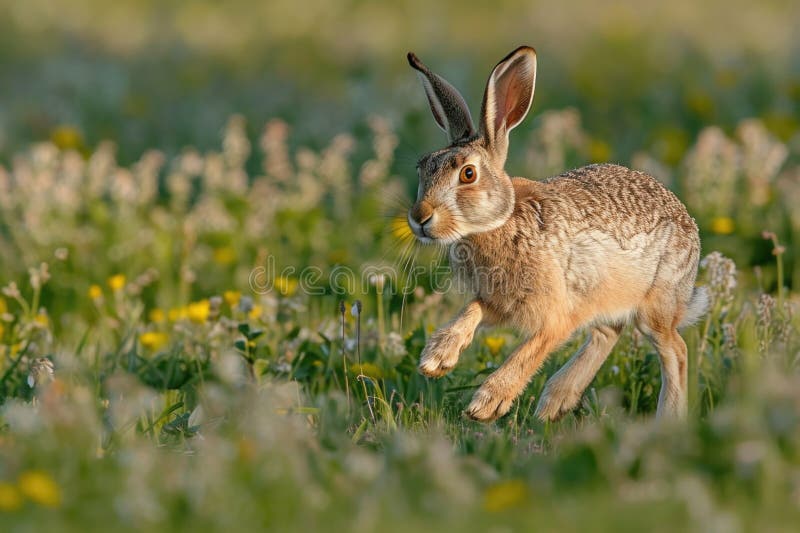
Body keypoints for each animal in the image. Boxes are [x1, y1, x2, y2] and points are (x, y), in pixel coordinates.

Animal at [406, 46, 707, 422]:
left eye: (468, 174)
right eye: (422, 168)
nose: (419, 218)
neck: (499, 223)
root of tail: (689, 225)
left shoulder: (556, 315)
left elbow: (531, 350)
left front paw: (486, 404)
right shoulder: (497, 301)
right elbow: (471, 311)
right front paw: (436, 358)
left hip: (654, 306)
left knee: (674, 350)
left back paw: (666, 420)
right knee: (608, 333)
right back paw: (555, 402)